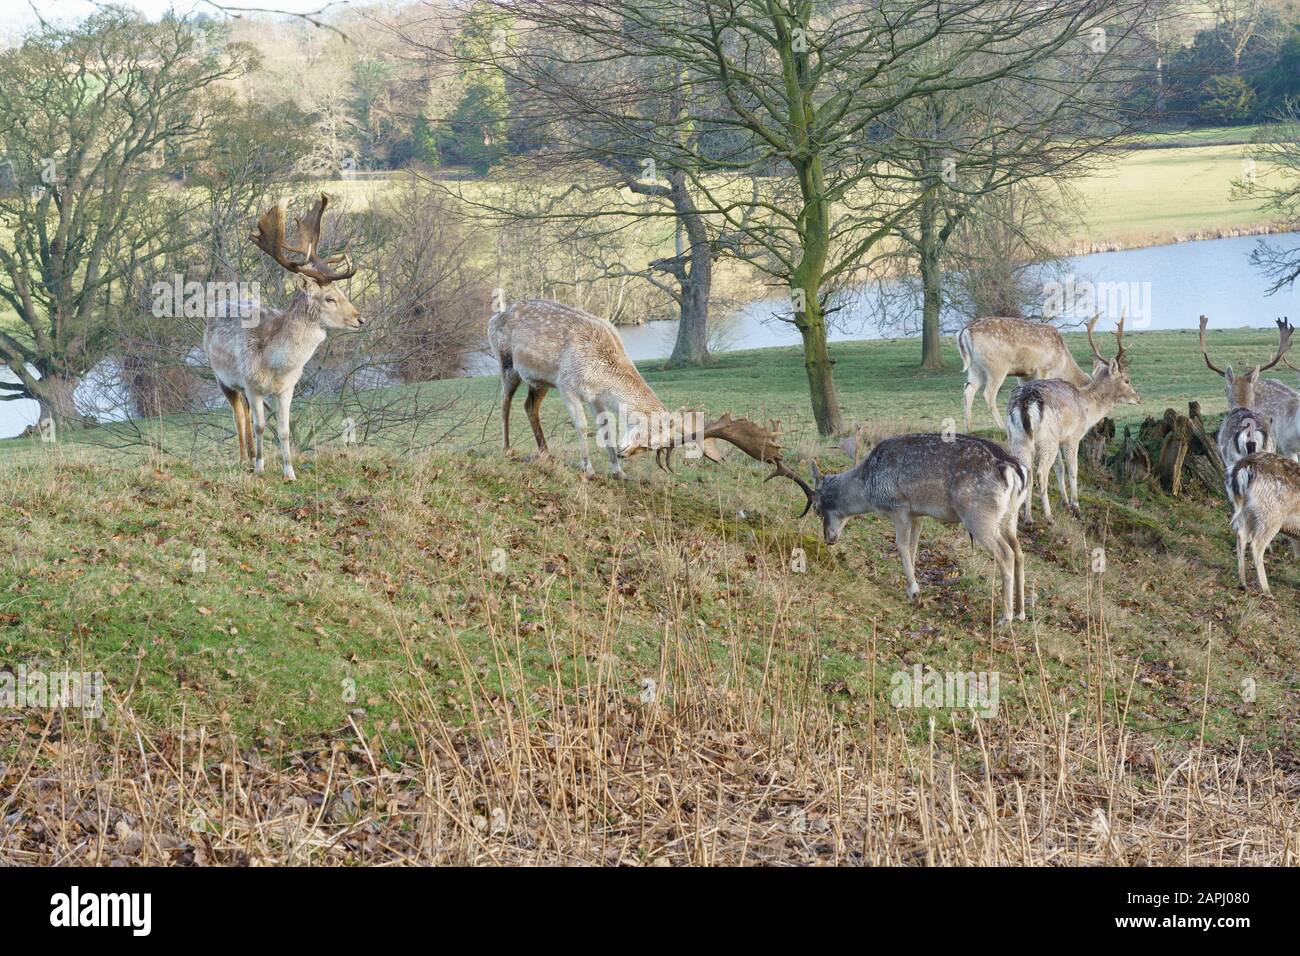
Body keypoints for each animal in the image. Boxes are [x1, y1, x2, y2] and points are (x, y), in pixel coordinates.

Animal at [204, 193, 362, 482]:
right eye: (329, 298)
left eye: (342, 293)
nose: (360, 319)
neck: (275, 364)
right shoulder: (252, 384)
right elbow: (260, 426)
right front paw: (259, 467)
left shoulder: (288, 387)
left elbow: (284, 429)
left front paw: (289, 472)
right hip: (223, 378)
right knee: (239, 415)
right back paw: (244, 458)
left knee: (244, 412)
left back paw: (251, 454)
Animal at [957, 316, 1093, 432]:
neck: (1063, 363)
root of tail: (965, 332)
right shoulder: (1043, 368)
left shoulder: (1024, 374)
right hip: (997, 367)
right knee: (988, 394)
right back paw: (1002, 427)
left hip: (975, 367)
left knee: (968, 389)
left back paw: (968, 428)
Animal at [1005, 315, 1139, 525]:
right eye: (1127, 380)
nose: (1138, 398)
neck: (1087, 408)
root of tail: (1024, 404)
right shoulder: (1073, 436)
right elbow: (1072, 469)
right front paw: (1076, 506)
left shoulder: (1061, 439)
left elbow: (1060, 468)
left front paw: (1065, 502)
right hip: (1047, 440)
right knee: (1041, 474)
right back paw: (1049, 517)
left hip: (1017, 439)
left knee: (1026, 471)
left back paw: (1027, 517)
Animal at [1228, 453, 1300, 594]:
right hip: (1271, 515)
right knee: (1256, 545)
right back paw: (1266, 590)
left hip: (1248, 511)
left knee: (1241, 536)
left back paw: (1243, 583)